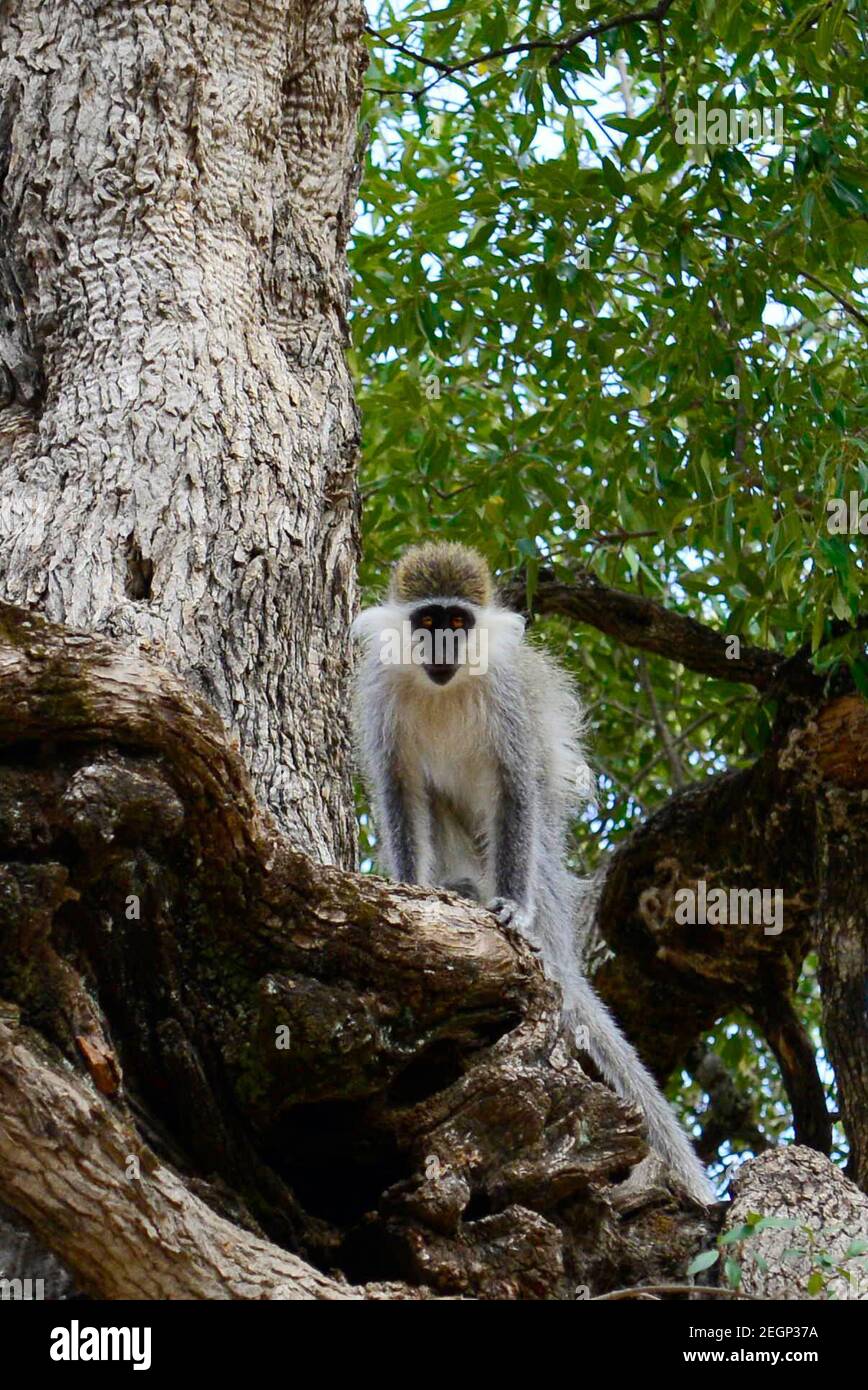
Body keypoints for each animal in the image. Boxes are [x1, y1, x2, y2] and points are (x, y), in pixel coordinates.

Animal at [352, 541, 714, 1206]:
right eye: (428, 622)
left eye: (459, 623)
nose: (444, 647)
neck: (445, 690)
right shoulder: (382, 700)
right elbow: (399, 795)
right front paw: (413, 888)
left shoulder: (506, 702)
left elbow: (516, 787)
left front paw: (512, 909)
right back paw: (457, 888)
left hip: (543, 855)